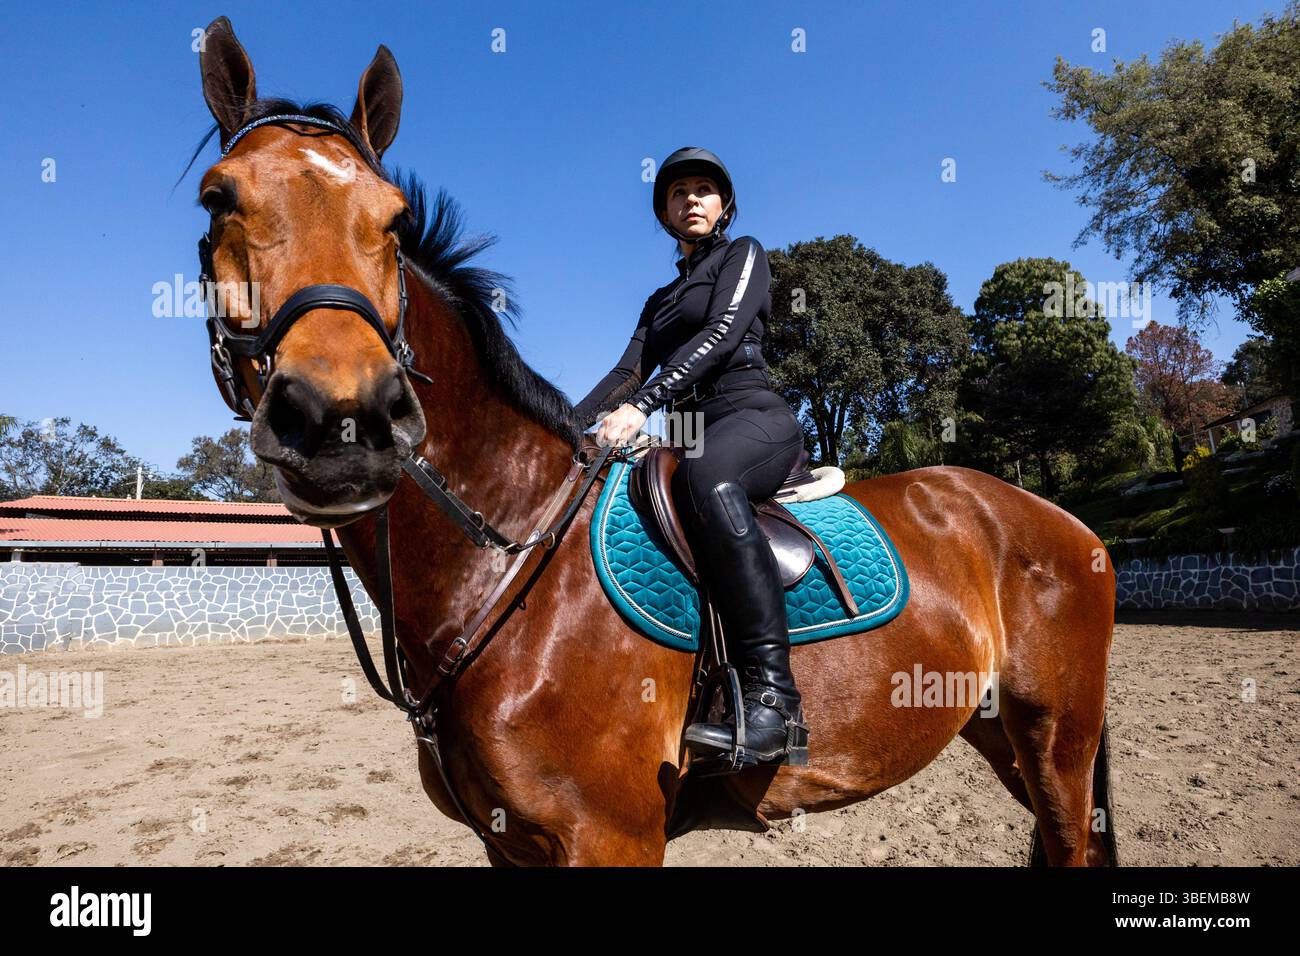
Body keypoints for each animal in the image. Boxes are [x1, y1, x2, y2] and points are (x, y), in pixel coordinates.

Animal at [191, 17, 1119, 866]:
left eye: (394, 218)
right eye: (218, 198)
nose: (342, 420)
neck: (507, 566)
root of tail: (1052, 516)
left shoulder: (613, 835)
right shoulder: (508, 842)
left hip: (1057, 736)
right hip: (998, 732)